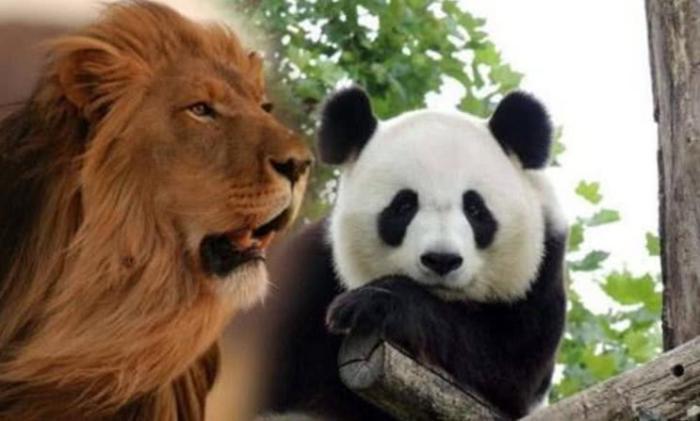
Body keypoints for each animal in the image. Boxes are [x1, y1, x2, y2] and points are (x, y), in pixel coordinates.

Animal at [258, 87, 567, 420]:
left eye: (475, 209)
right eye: (404, 205)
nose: (442, 260)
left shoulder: (540, 282)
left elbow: (503, 366)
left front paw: (372, 303)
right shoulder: (310, 268)